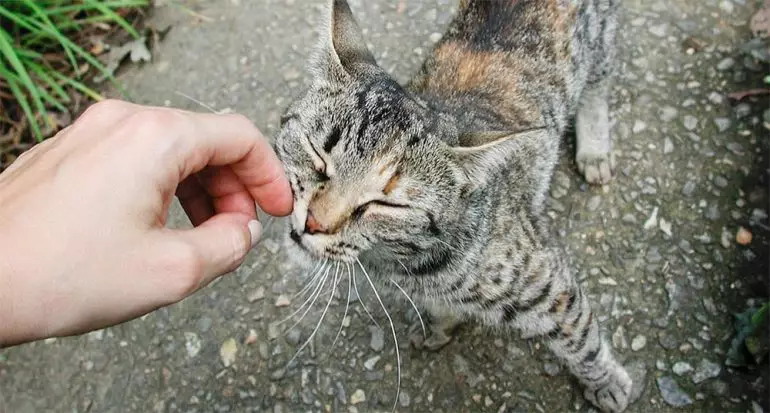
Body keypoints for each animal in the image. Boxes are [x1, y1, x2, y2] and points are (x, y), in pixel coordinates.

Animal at [276, 0, 632, 412]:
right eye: (319, 156)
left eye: (386, 203)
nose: (314, 222)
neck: (409, 264)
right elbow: (443, 308)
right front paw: (441, 326)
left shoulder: (548, 283)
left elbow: (581, 337)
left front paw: (607, 383)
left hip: (600, 42)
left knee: (599, 82)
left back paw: (594, 148)